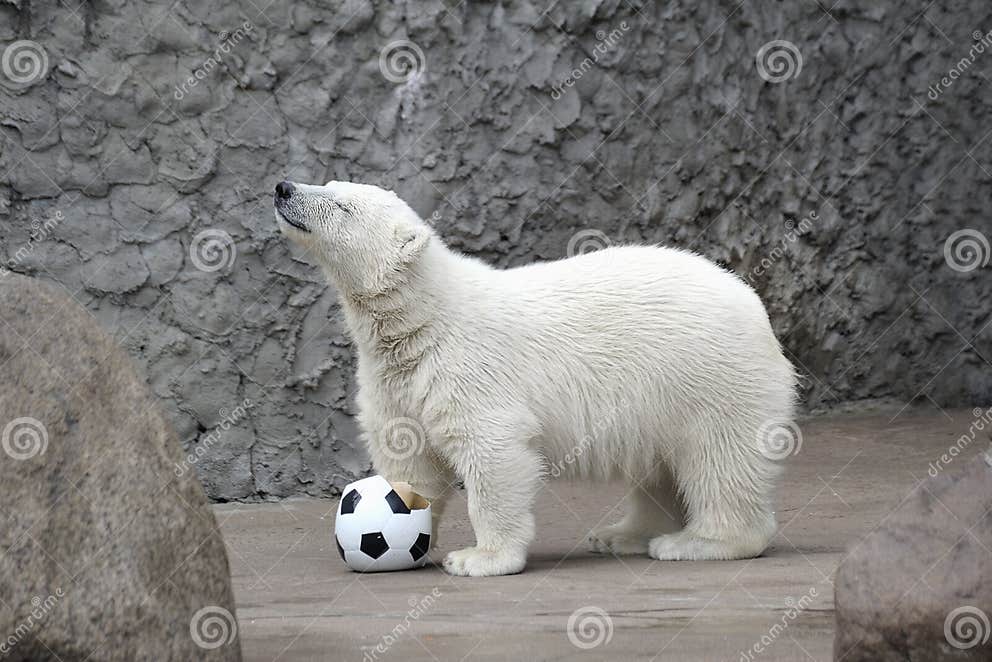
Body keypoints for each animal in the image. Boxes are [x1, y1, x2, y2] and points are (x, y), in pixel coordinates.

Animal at [273, 179, 797, 577]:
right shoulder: (396, 381)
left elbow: (493, 454)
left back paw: (695, 542)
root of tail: (757, 310)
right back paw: (623, 535)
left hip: (710, 375)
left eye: (341, 203)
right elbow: (409, 463)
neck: (420, 320)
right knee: (659, 468)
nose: (284, 188)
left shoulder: (471, 369)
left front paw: (479, 558)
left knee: (719, 459)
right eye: (329, 181)